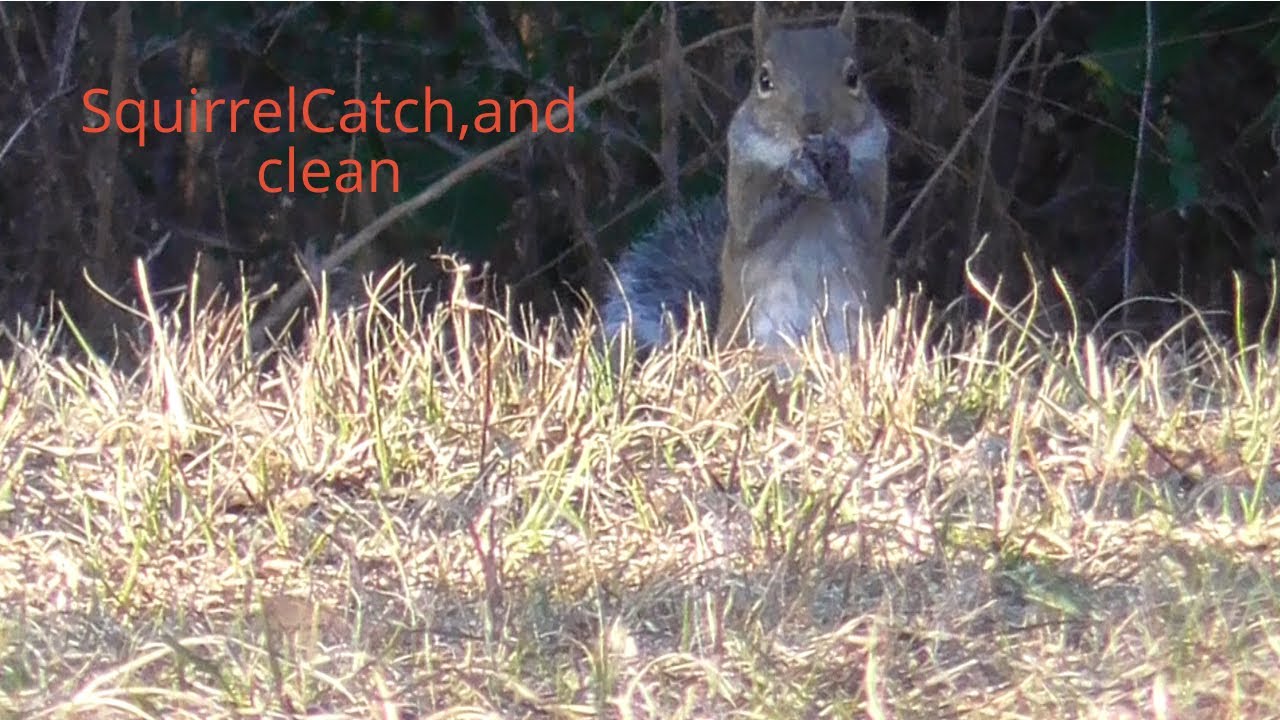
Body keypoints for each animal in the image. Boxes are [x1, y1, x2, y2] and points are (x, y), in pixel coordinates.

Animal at [601, 1, 890, 358]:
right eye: (764, 80)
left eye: (853, 77)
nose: (812, 123)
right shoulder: (743, 173)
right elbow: (753, 224)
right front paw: (795, 175)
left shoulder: (874, 163)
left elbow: (866, 226)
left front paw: (839, 170)